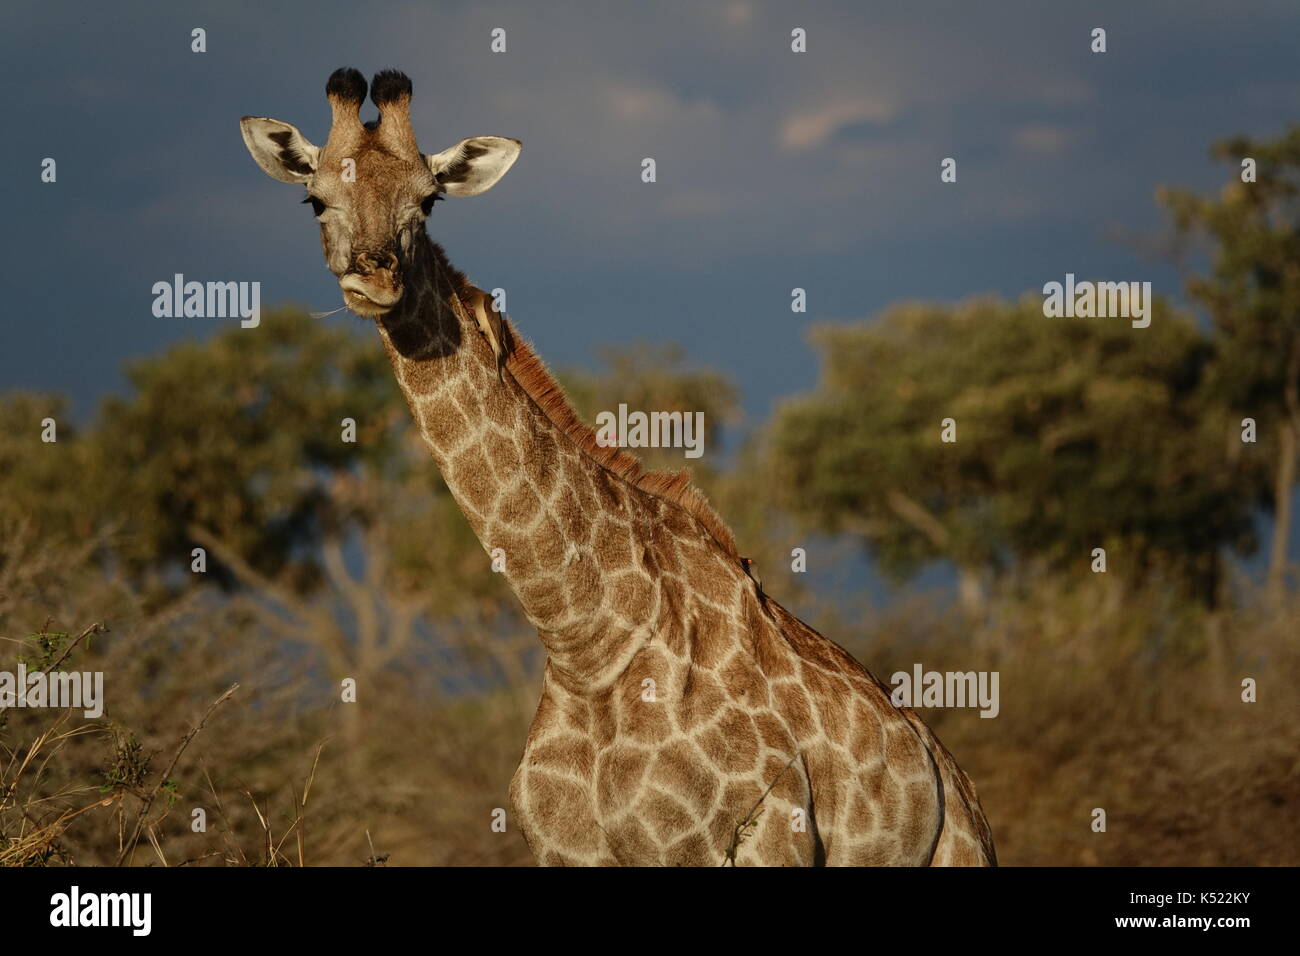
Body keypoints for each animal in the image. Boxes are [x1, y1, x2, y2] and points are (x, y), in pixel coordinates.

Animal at [240, 68, 996, 867]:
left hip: (954, 854)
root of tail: (957, 784)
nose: (374, 276)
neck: (587, 646)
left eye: (428, 200)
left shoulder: (766, 833)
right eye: (315, 198)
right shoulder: (565, 851)